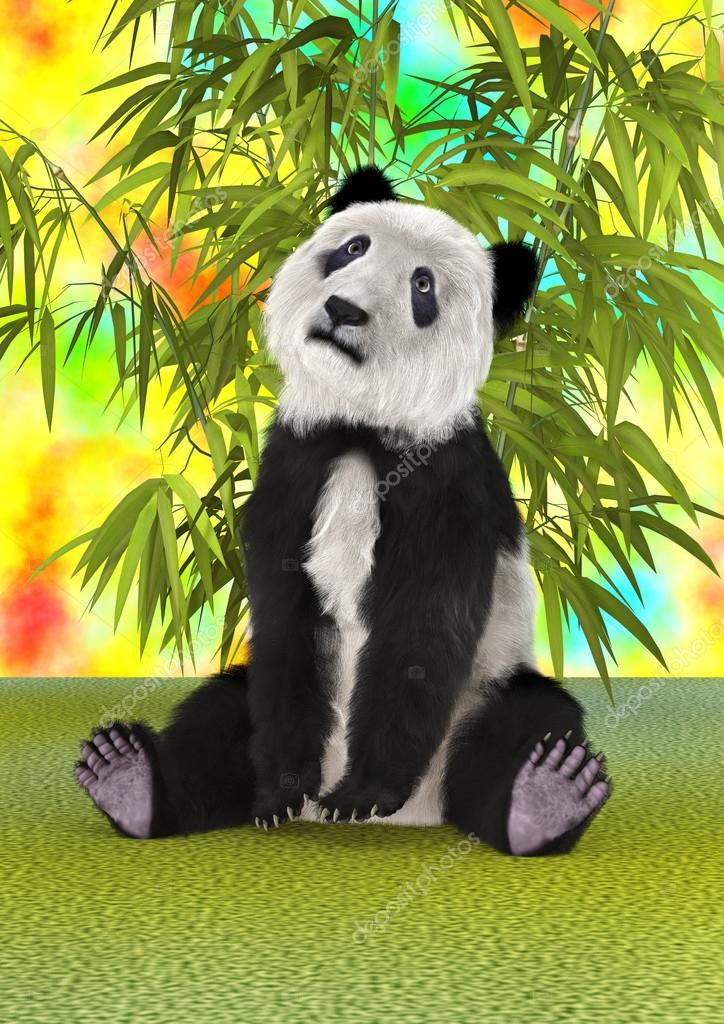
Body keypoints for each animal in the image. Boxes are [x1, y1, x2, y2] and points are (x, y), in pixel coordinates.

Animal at [74, 166, 611, 856]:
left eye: (422, 284)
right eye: (353, 248)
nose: (343, 310)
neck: (361, 423)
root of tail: (422, 814)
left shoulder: (445, 481)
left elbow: (423, 626)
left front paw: (364, 792)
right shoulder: (295, 463)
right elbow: (286, 614)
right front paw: (279, 792)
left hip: (484, 688)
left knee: (531, 722)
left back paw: (544, 797)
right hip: (248, 702)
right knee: (218, 715)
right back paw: (131, 780)